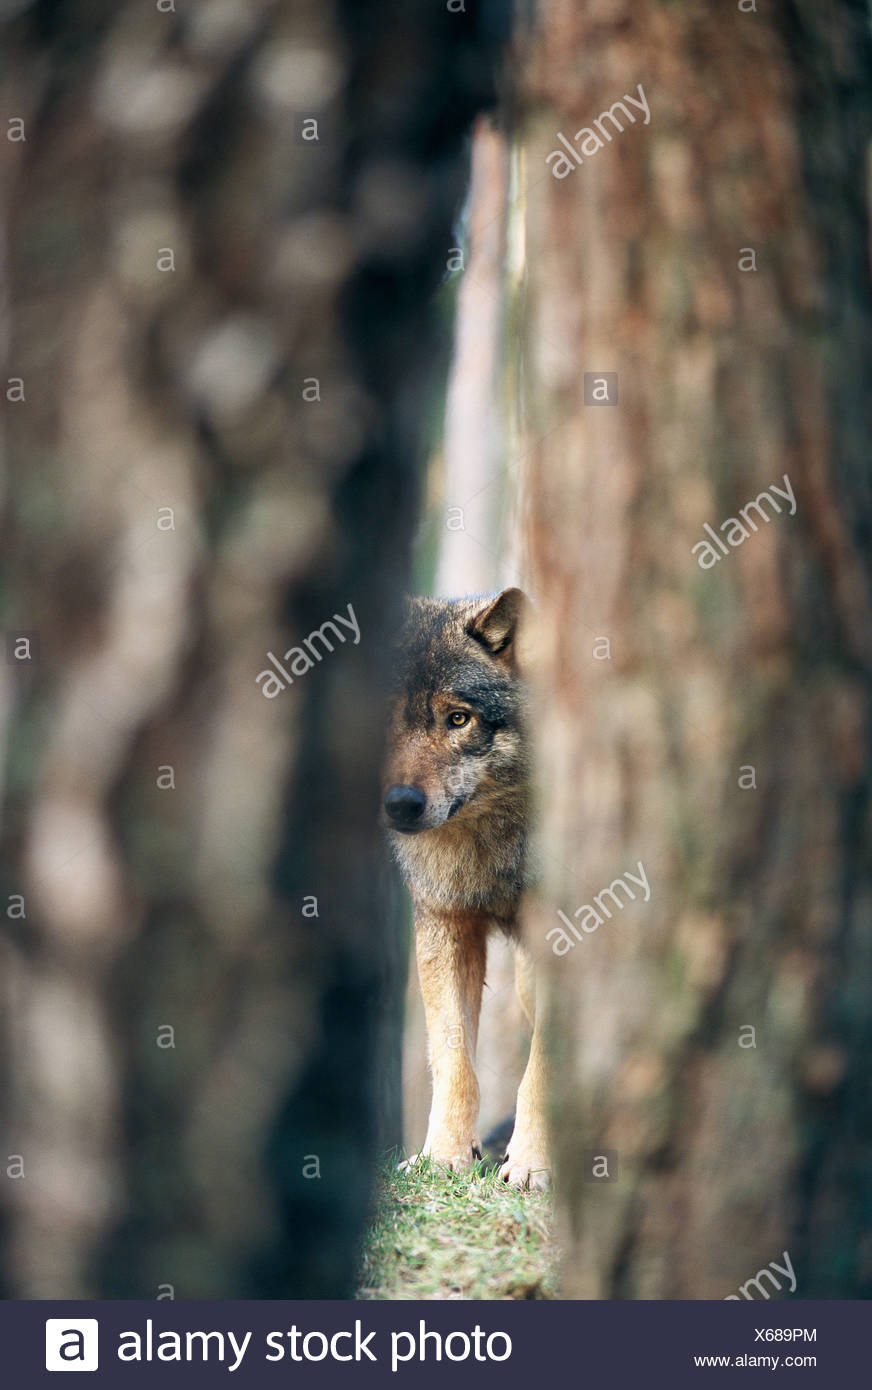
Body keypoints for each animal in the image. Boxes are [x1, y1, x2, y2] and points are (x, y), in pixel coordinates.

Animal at [382, 587, 550, 1190]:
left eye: (458, 718)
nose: (400, 804)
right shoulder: (445, 925)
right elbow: (454, 1060)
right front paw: (443, 1158)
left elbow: (539, 1071)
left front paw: (531, 1165)